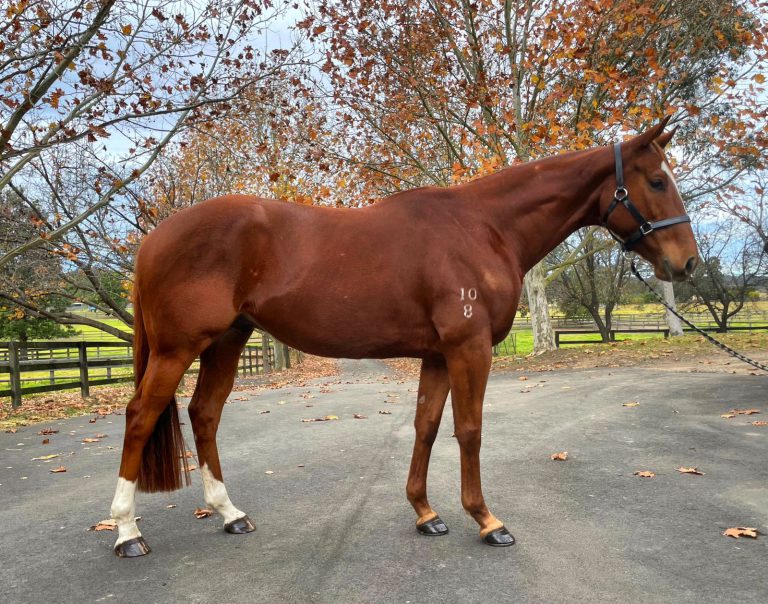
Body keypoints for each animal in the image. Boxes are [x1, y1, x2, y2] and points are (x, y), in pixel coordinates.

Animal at [110, 117, 698, 557]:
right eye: (657, 181)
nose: (687, 263)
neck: (483, 227)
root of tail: (154, 239)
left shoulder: (437, 355)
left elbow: (427, 427)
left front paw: (426, 513)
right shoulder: (468, 349)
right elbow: (469, 430)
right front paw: (487, 521)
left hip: (227, 342)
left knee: (204, 413)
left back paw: (230, 514)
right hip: (178, 348)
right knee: (140, 417)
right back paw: (127, 532)